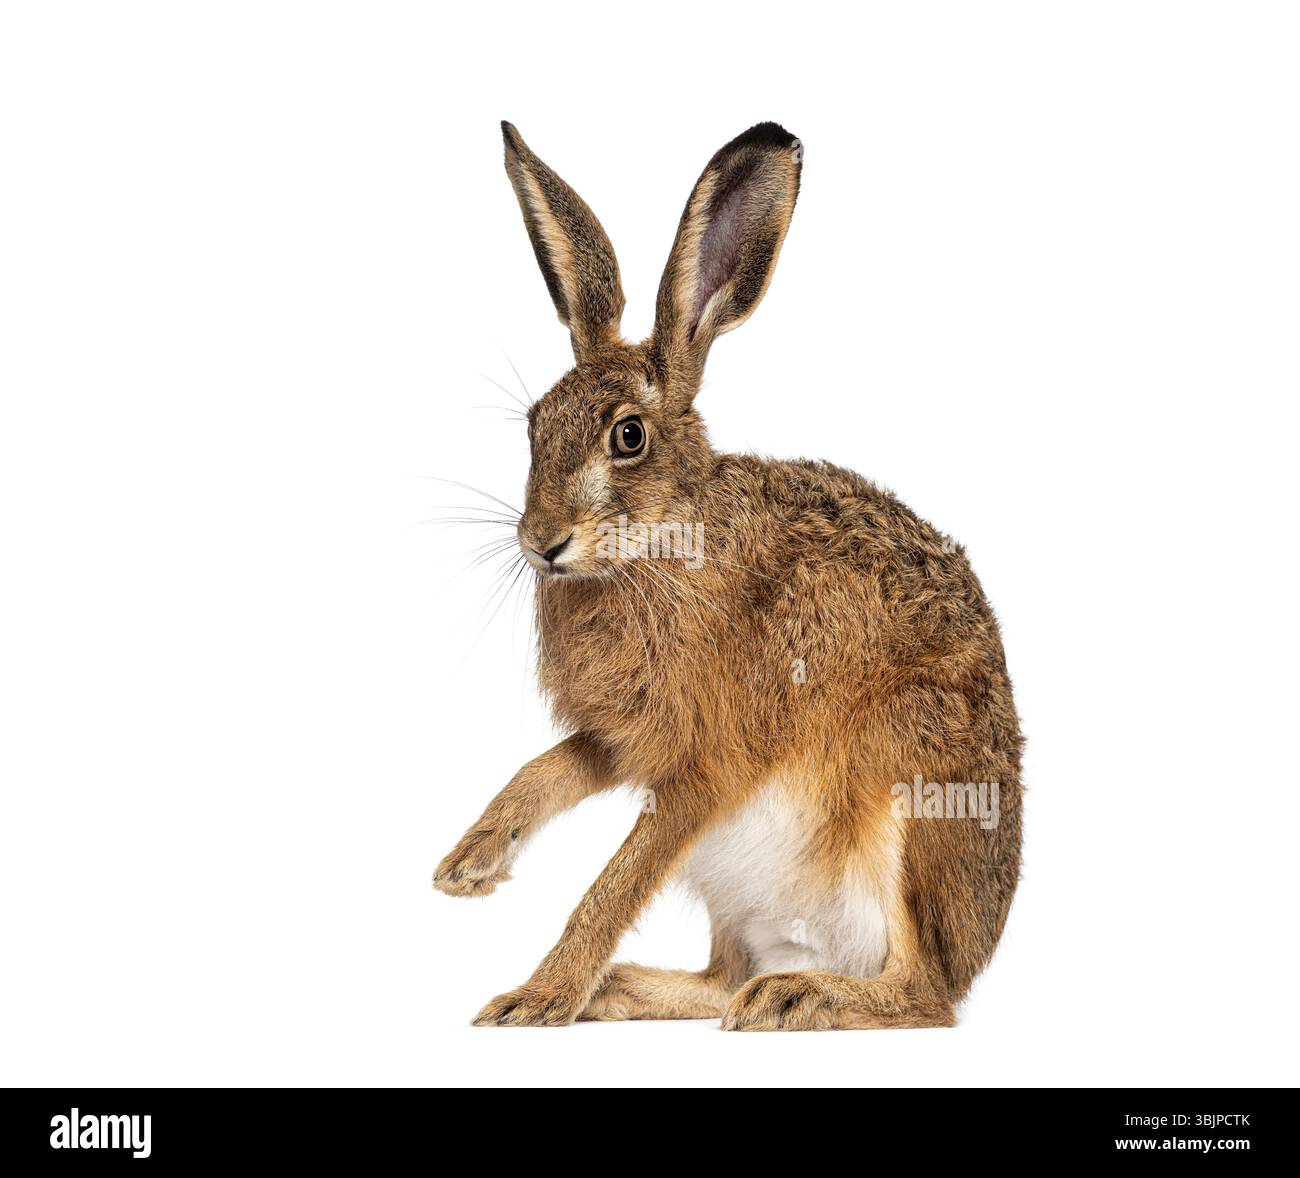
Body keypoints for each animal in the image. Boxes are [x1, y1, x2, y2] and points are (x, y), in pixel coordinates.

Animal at [432, 120, 1023, 1031]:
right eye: (534, 425)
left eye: (628, 437)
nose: (543, 542)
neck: (658, 552)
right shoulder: (626, 742)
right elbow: (547, 770)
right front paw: (472, 864)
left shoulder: (705, 769)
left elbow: (614, 884)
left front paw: (536, 999)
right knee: (723, 977)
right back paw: (631, 989)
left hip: (908, 775)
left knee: (921, 994)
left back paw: (795, 995)